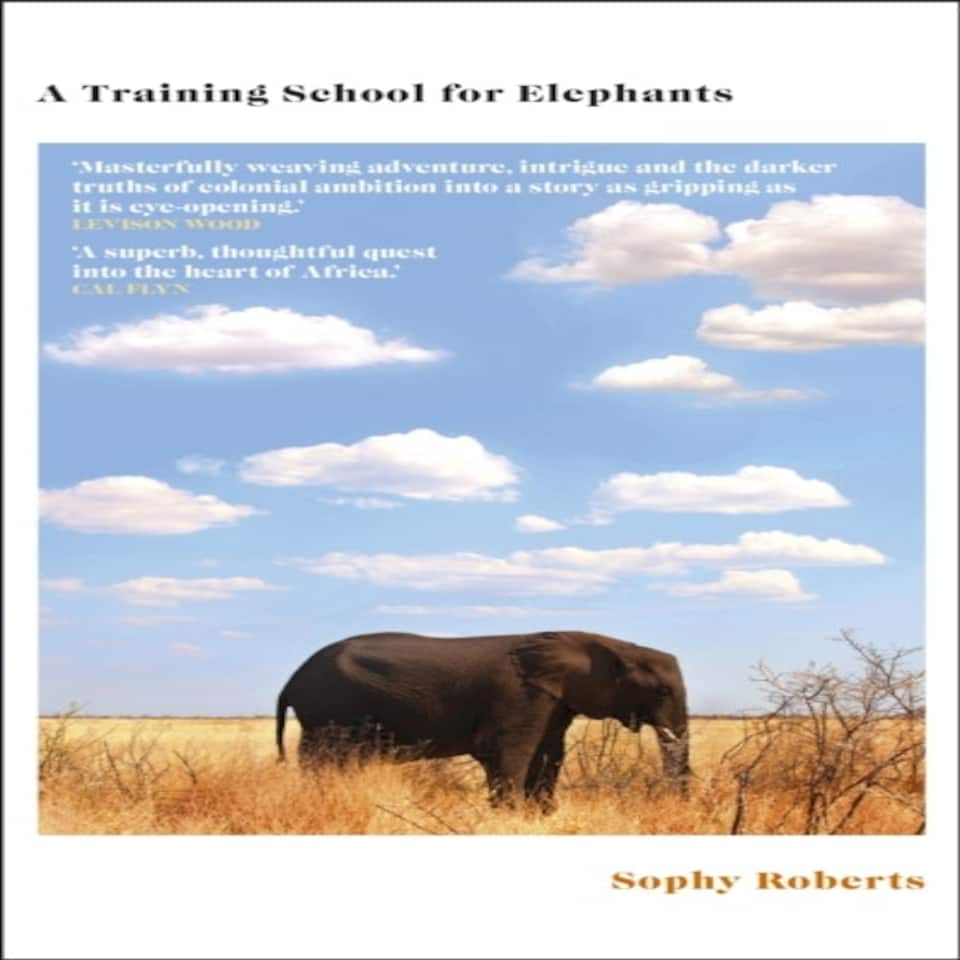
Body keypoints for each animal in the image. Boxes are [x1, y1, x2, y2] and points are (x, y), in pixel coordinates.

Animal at [275, 629, 691, 810]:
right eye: (662, 691)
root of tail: (289, 682)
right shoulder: (519, 695)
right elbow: (508, 752)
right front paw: (512, 816)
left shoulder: (552, 699)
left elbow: (549, 755)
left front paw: (542, 815)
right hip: (328, 713)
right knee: (323, 760)